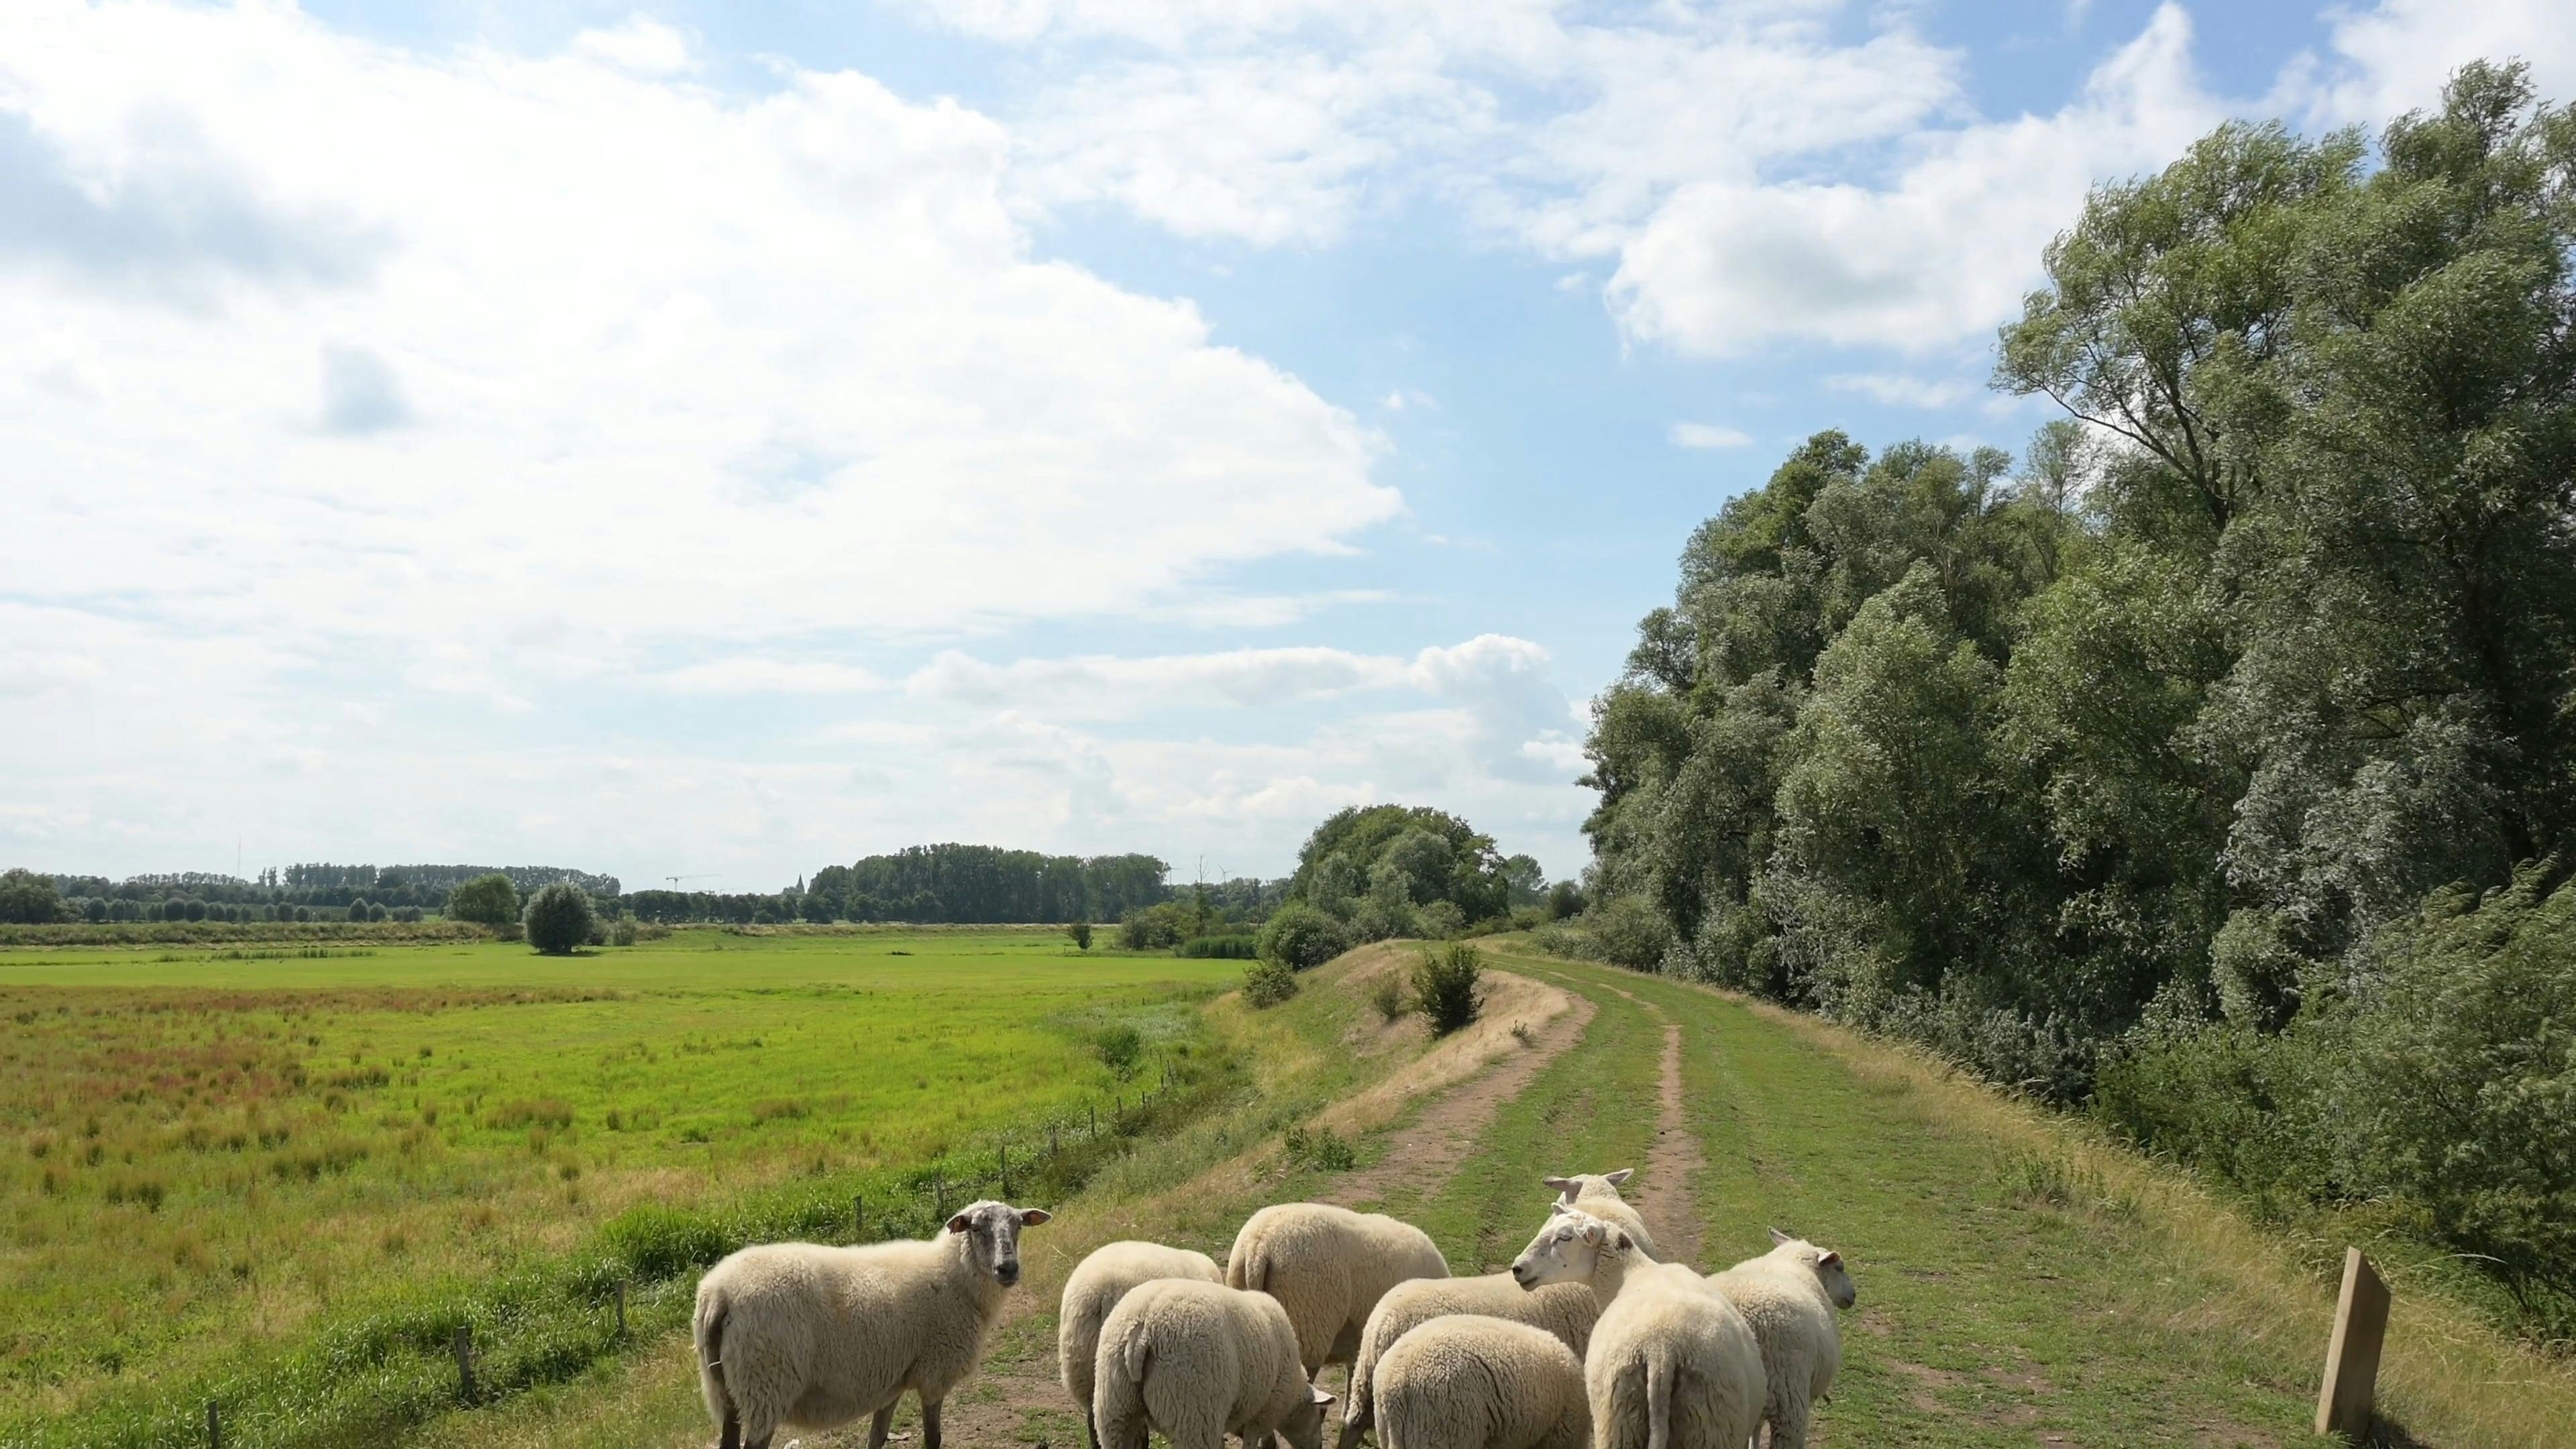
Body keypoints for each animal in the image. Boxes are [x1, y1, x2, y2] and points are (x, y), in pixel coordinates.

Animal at [693, 1200, 1050, 1449]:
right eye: (975, 1229)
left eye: (1019, 1226)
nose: (1008, 1269)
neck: (955, 1278)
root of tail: (719, 1293)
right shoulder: (934, 1374)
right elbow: (932, 1438)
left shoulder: (891, 1378)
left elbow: (877, 1437)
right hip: (766, 1385)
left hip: (726, 1390)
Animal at [1092, 1276, 1337, 1449]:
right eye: (1322, 1414)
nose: (1319, 1447)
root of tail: (1143, 1329)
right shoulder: (1260, 1411)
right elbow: (1251, 1442)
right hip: (1193, 1411)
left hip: (1115, 1408)